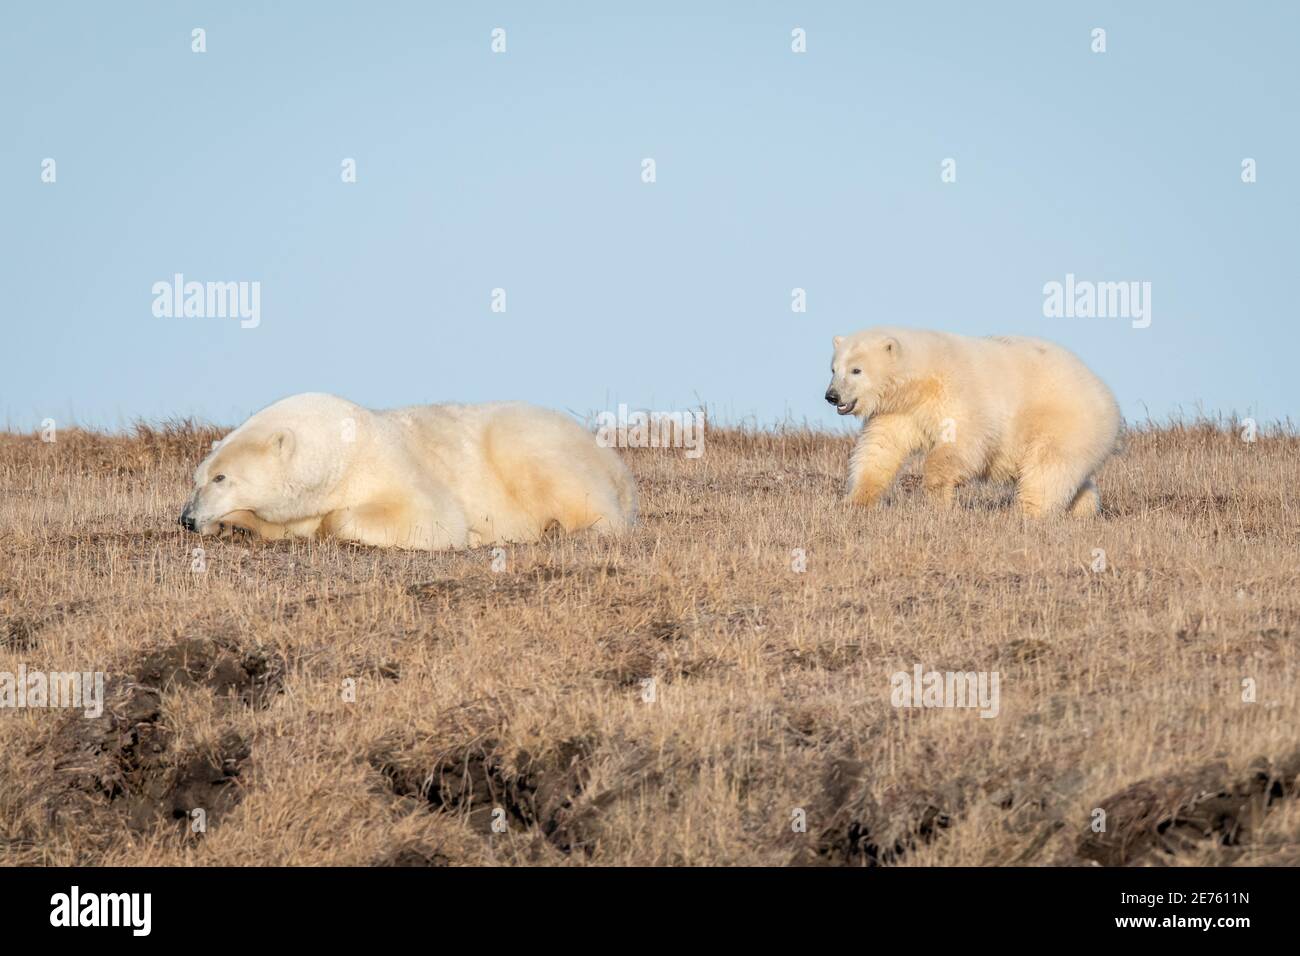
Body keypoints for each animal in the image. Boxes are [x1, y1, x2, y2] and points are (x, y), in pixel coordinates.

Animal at [179, 393, 637, 549]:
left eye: (222, 477)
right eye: (198, 478)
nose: (186, 519)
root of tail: (616, 465)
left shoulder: (386, 461)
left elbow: (432, 517)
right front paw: (234, 524)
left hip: (528, 441)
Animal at [824, 327, 1121, 517]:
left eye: (856, 370)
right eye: (834, 369)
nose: (832, 396)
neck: (922, 377)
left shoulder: (959, 394)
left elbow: (965, 441)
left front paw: (939, 498)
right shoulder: (900, 410)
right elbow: (880, 448)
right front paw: (855, 500)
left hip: (1063, 420)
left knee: (1048, 468)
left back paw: (1025, 514)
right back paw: (1083, 511)